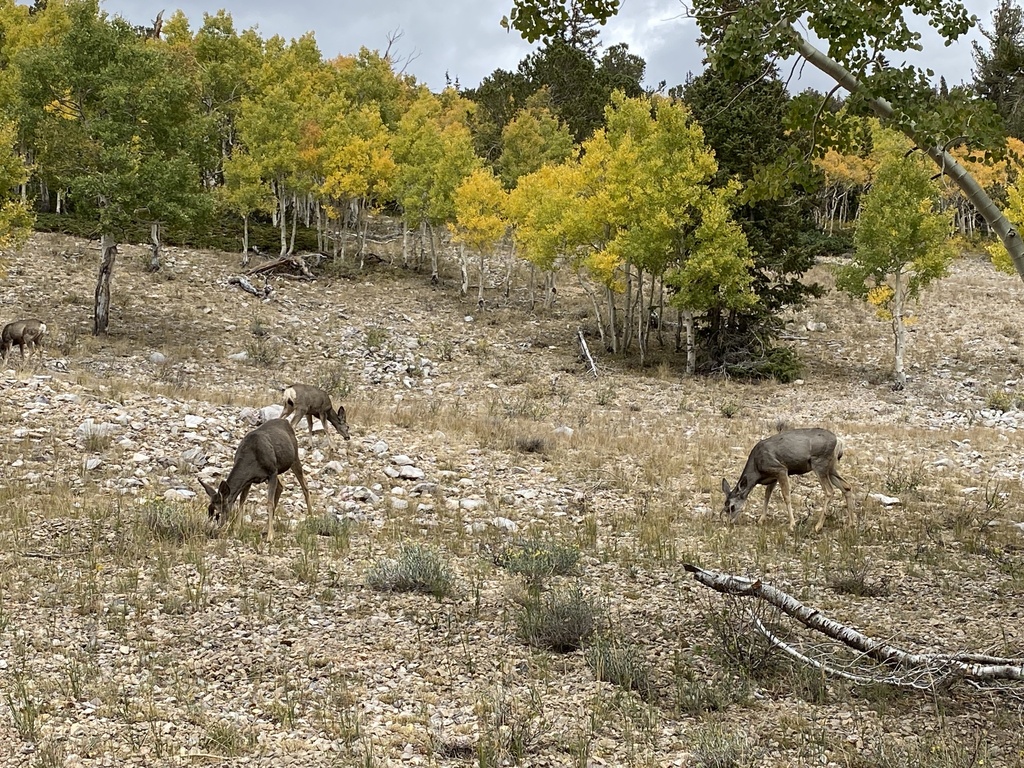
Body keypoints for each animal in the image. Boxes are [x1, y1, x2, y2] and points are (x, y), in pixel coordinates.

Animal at [721, 427, 855, 533]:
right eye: (725, 506)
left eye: (732, 507)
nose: (729, 522)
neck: (756, 469)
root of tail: (839, 441)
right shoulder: (773, 477)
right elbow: (767, 495)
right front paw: (761, 520)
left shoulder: (780, 469)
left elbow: (786, 496)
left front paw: (792, 524)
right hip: (831, 467)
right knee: (846, 486)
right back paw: (850, 524)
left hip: (820, 463)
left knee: (829, 491)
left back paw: (818, 526)